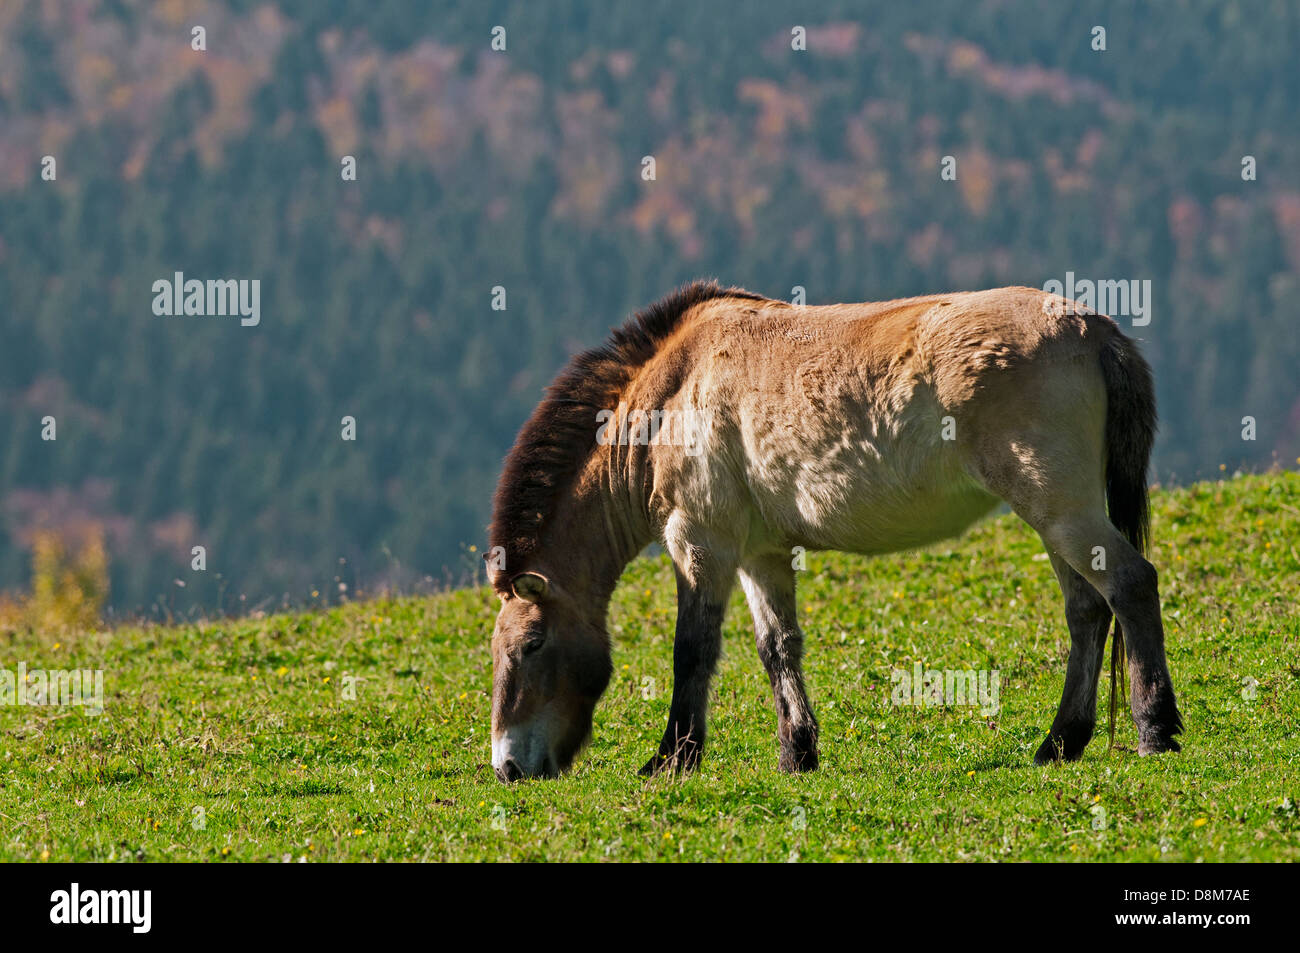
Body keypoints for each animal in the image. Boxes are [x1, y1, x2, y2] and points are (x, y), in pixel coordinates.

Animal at [485, 280, 1182, 782]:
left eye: (531, 646)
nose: (509, 768)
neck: (670, 394)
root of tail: (1095, 329)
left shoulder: (700, 542)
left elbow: (692, 651)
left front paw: (672, 759)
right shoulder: (759, 553)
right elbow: (777, 647)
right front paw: (797, 753)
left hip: (1060, 508)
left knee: (1130, 585)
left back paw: (1156, 730)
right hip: (1056, 517)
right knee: (1087, 611)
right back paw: (1060, 743)